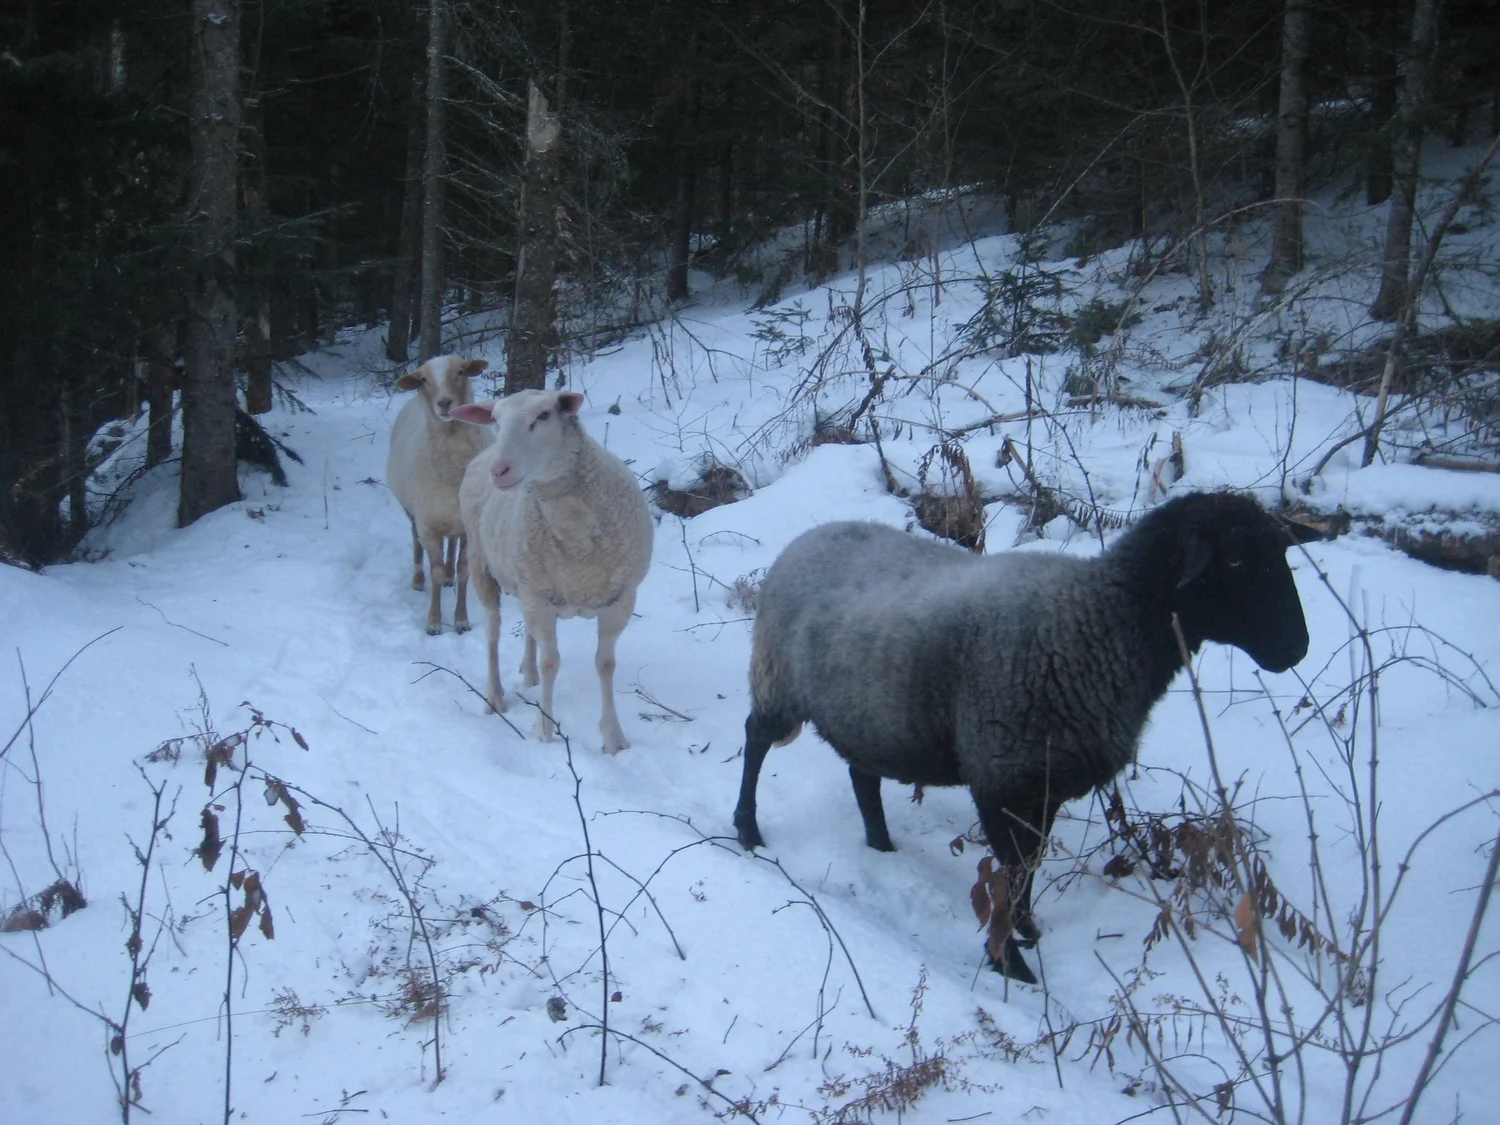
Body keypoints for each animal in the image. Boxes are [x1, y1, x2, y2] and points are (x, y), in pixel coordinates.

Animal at [385, 355, 492, 635]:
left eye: (461, 371)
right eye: (423, 379)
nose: (444, 403)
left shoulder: (469, 528)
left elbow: (464, 571)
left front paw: (461, 620)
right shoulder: (428, 525)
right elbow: (434, 569)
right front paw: (433, 622)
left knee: (451, 544)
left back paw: (448, 576)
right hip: (414, 512)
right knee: (415, 541)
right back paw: (418, 578)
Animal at [453, 389, 654, 754]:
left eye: (544, 415)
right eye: (496, 420)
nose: (500, 471)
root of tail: (485, 453)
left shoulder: (620, 599)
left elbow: (605, 664)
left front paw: (613, 738)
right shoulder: (540, 599)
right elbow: (551, 663)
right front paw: (543, 732)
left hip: (526, 579)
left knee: (526, 634)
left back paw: (528, 673)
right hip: (480, 562)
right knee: (492, 632)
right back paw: (494, 697)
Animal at [733, 490, 1309, 983]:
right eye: (1235, 561)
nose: (1298, 648)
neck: (1101, 624)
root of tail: (808, 536)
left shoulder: (1043, 782)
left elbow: (1029, 869)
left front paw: (1029, 931)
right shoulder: (1001, 776)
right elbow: (1008, 880)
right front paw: (1010, 963)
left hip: (870, 714)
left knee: (862, 775)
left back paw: (881, 846)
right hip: (778, 682)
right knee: (756, 739)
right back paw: (748, 830)